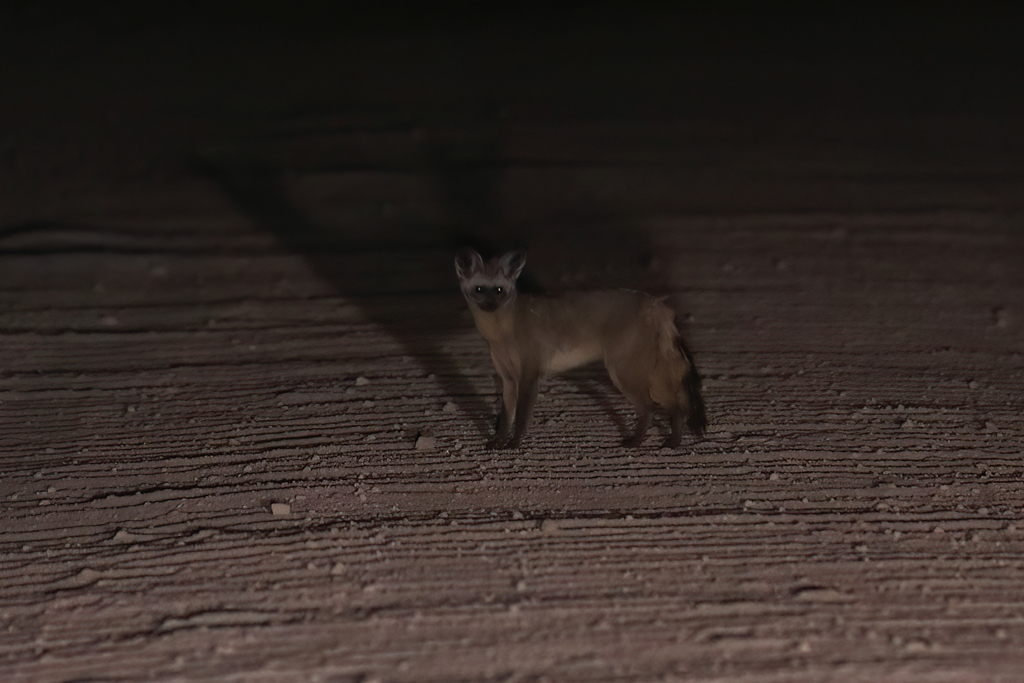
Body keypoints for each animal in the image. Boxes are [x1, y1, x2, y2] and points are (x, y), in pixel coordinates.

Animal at [455, 248, 706, 449]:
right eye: (479, 289)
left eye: (498, 290)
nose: (490, 305)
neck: (501, 333)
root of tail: (657, 305)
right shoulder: (507, 379)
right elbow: (506, 416)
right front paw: (499, 441)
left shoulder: (529, 375)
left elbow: (521, 416)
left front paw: (514, 443)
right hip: (645, 374)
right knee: (676, 407)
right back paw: (672, 441)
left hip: (624, 373)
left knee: (653, 408)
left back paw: (641, 441)